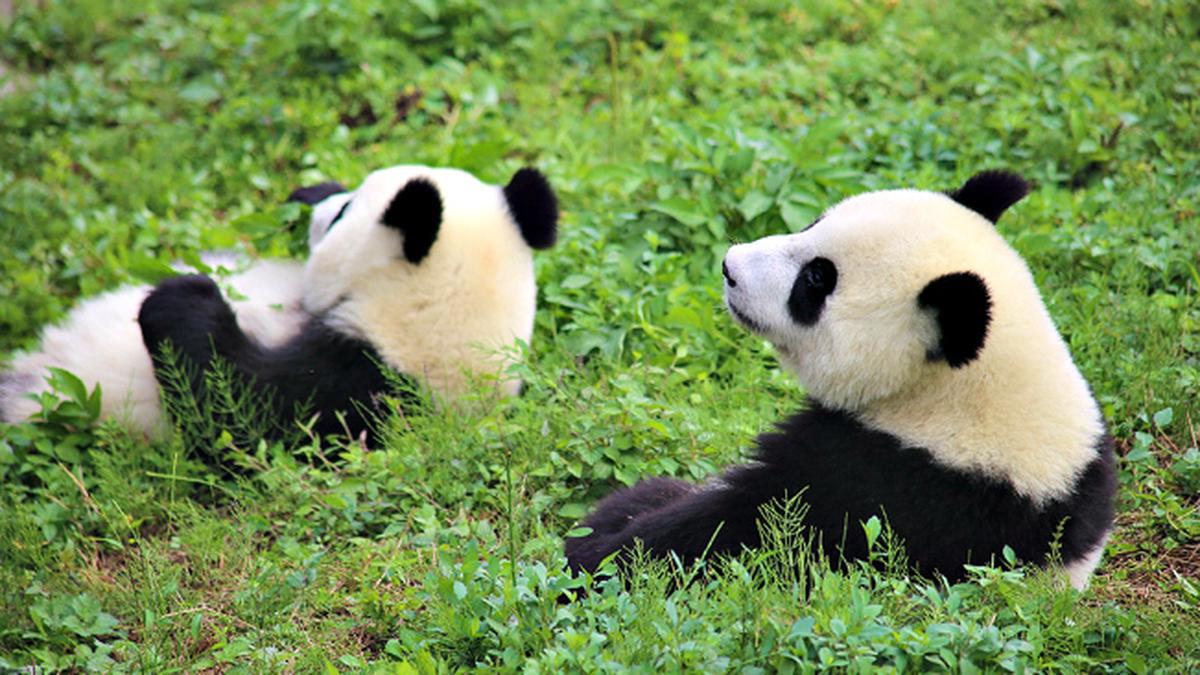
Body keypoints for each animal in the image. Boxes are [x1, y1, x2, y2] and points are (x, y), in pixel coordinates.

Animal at [565, 171, 1116, 590]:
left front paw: (592, 554)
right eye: (813, 223)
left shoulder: (898, 486)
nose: (729, 267)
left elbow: (747, 532)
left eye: (816, 279)